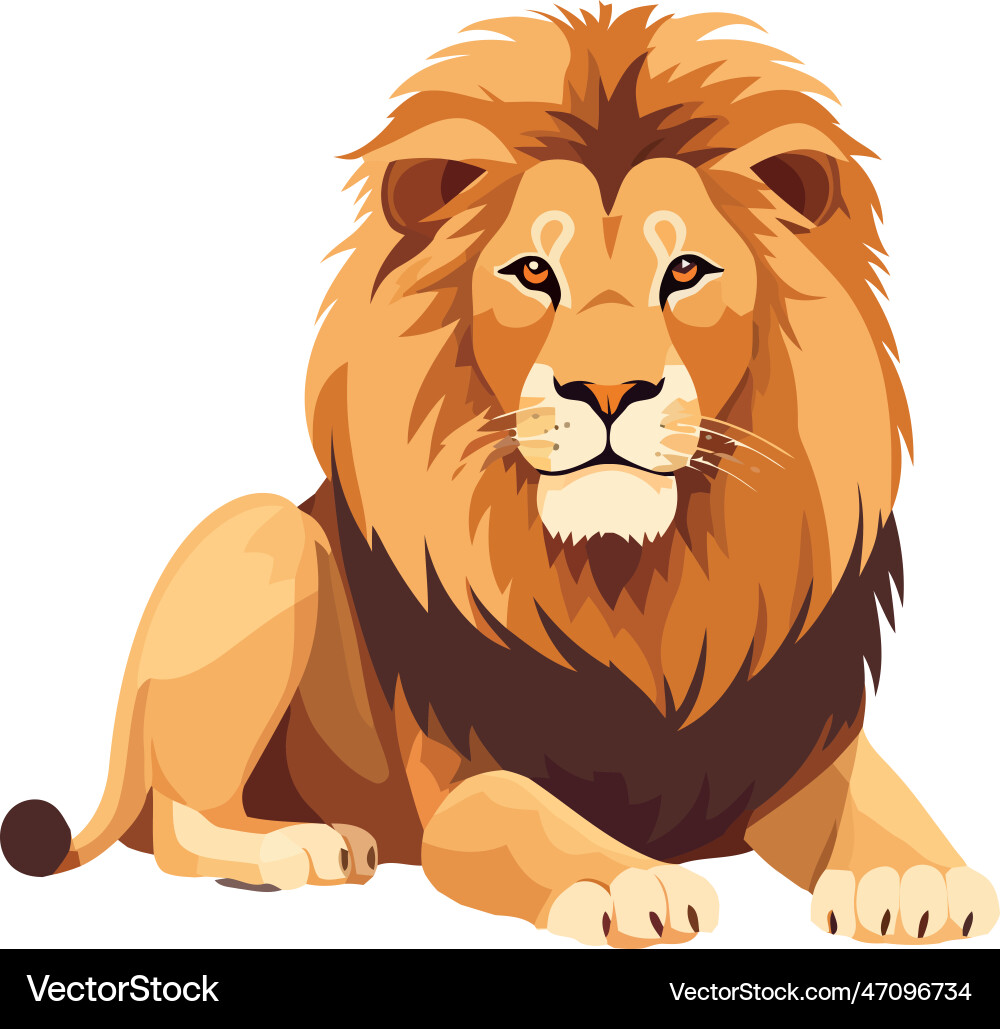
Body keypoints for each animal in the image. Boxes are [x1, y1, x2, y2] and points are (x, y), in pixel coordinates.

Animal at [1, 5, 996, 947]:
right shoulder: (466, 792)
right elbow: (544, 825)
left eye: (685, 270)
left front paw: (918, 880)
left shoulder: (797, 751)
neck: (639, 585)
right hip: (264, 533)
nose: (607, 389)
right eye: (532, 272)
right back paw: (305, 845)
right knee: (179, 822)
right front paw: (629, 882)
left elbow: (884, 801)